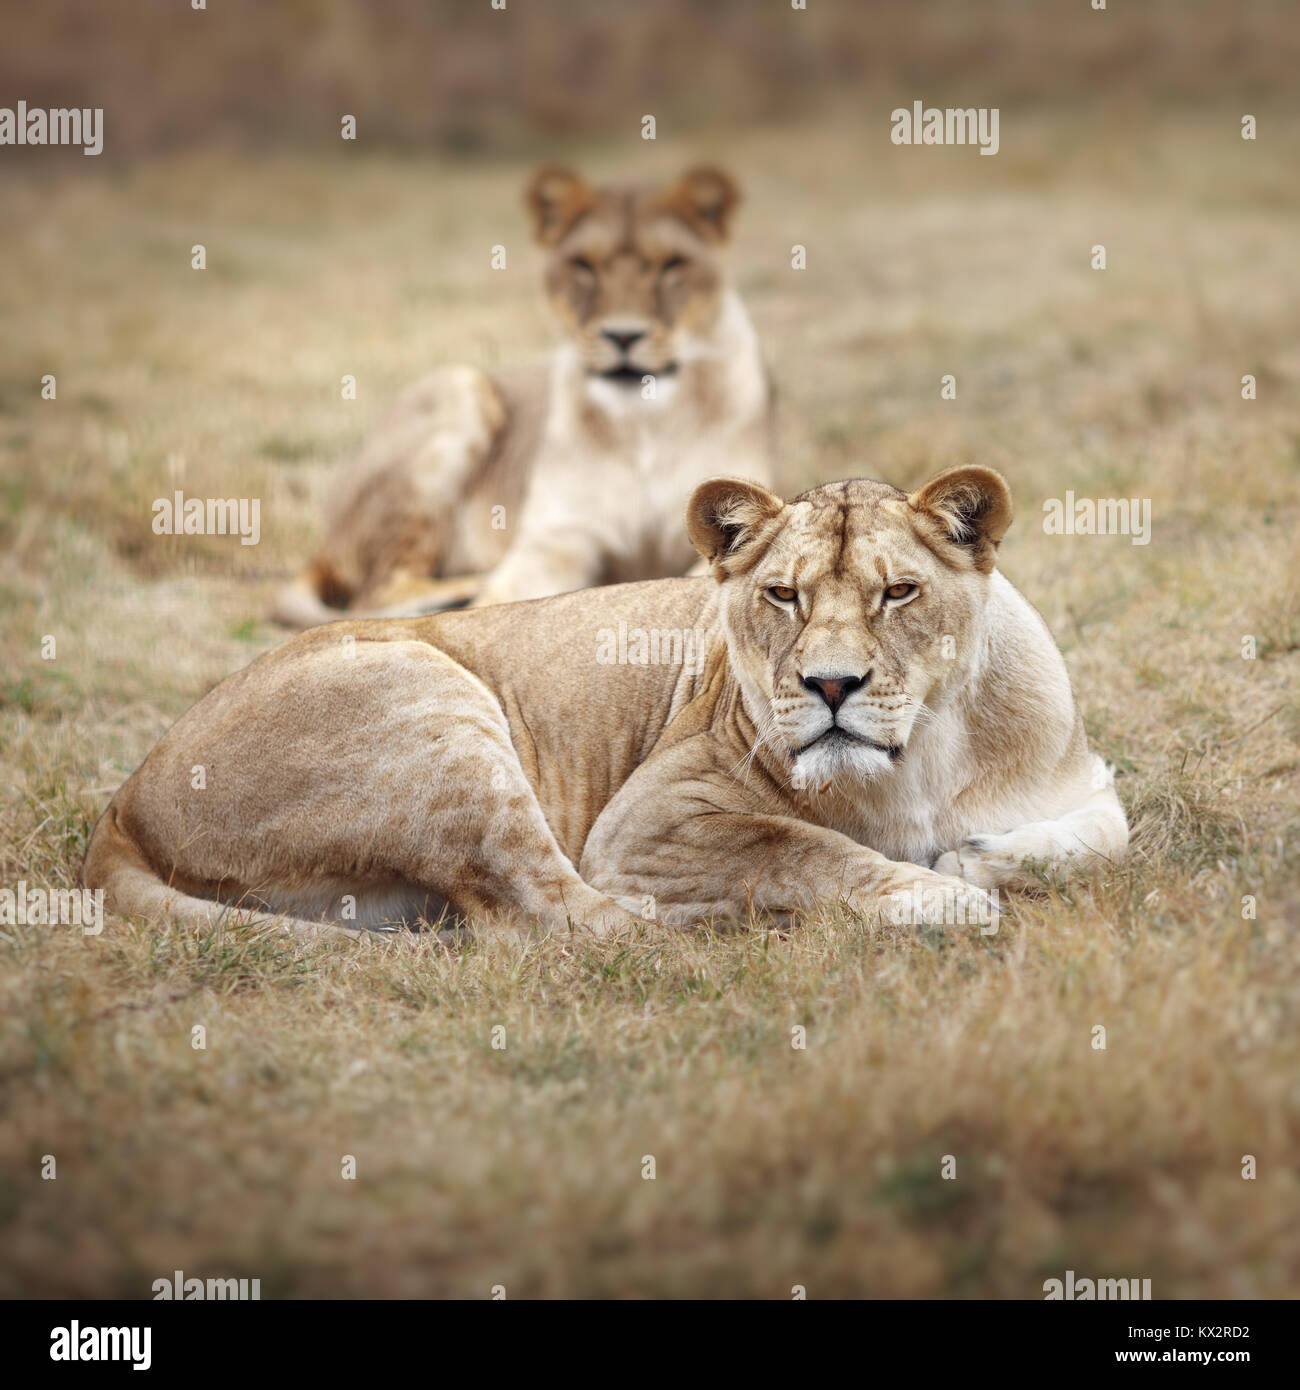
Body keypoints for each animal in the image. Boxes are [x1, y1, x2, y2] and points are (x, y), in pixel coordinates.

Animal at [85, 465, 1128, 940]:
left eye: (898, 593)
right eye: (782, 595)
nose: (831, 686)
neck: (924, 758)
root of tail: (124, 803)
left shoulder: (1084, 783)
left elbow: (1103, 840)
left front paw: (976, 857)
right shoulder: (650, 821)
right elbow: (806, 849)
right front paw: (940, 891)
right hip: (434, 703)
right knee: (554, 915)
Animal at [272, 162, 772, 626]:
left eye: (672, 265)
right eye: (583, 266)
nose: (623, 335)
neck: (642, 420)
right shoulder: (560, 536)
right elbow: (508, 598)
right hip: (458, 387)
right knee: (377, 591)